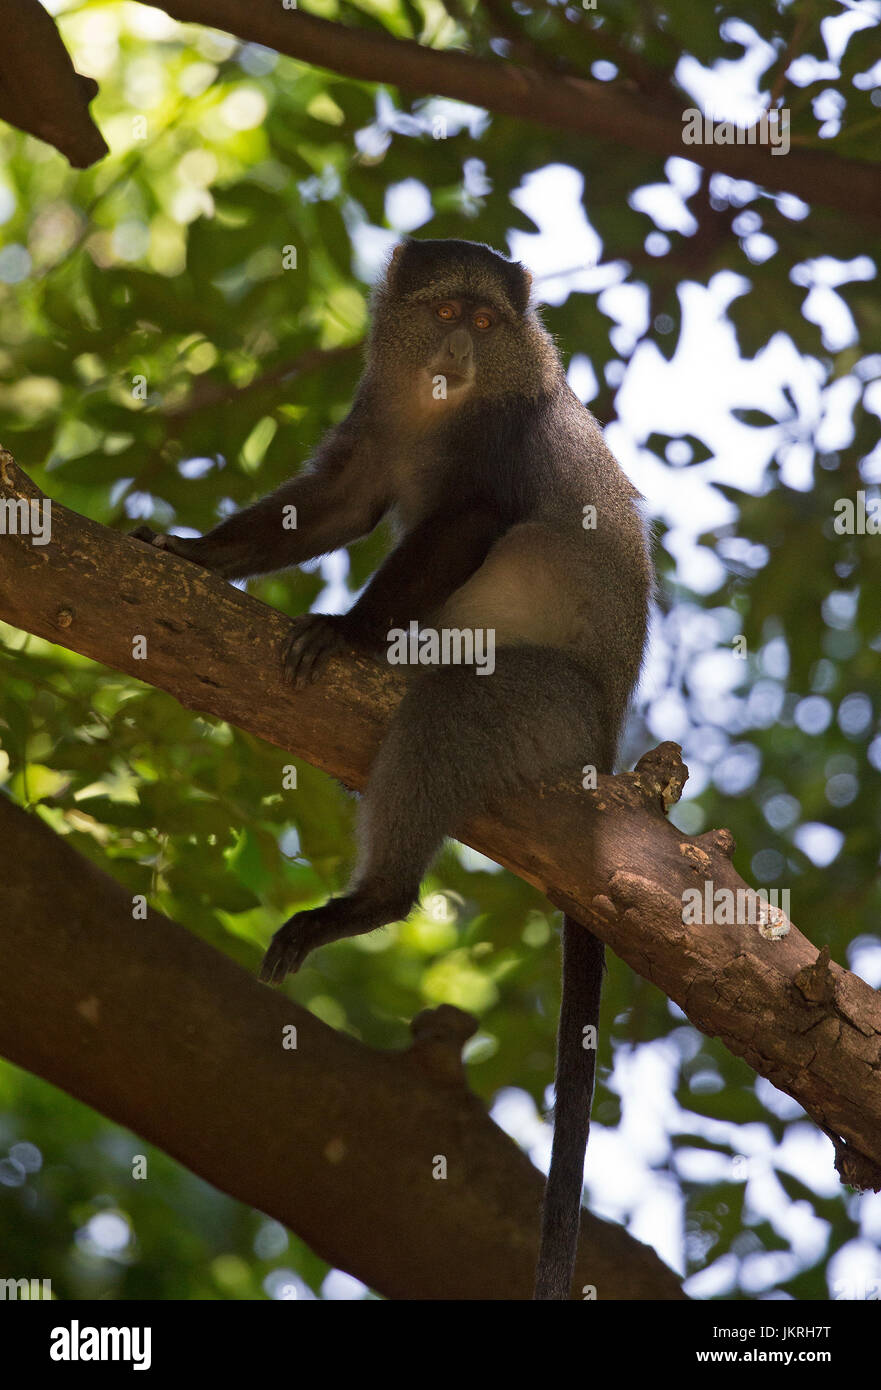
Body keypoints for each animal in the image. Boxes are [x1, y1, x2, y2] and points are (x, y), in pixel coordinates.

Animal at [133, 238, 653, 1300]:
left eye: (488, 324)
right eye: (446, 311)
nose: (458, 347)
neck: (438, 402)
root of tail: (606, 740)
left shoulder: (500, 445)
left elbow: (471, 522)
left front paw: (345, 629)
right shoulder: (373, 413)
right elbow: (338, 505)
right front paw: (192, 551)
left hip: (540, 705)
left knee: (452, 704)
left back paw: (375, 898)